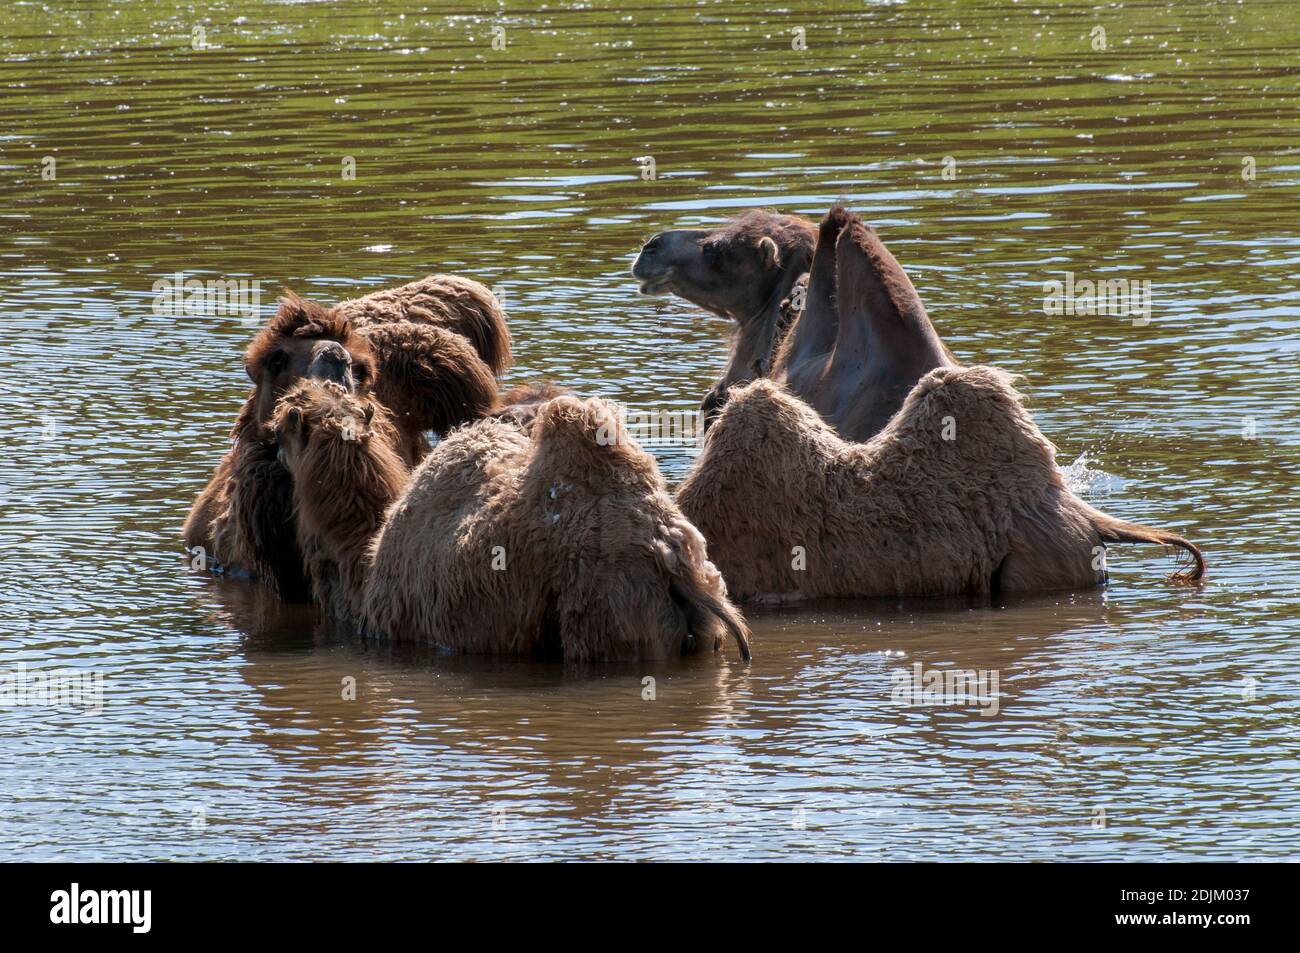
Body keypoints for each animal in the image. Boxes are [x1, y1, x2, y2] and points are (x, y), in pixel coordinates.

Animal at [271, 380, 752, 662]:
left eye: (280, 428)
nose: (273, 446)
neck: (363, 570)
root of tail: (674, 562)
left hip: (608, 615)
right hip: (700, 620)